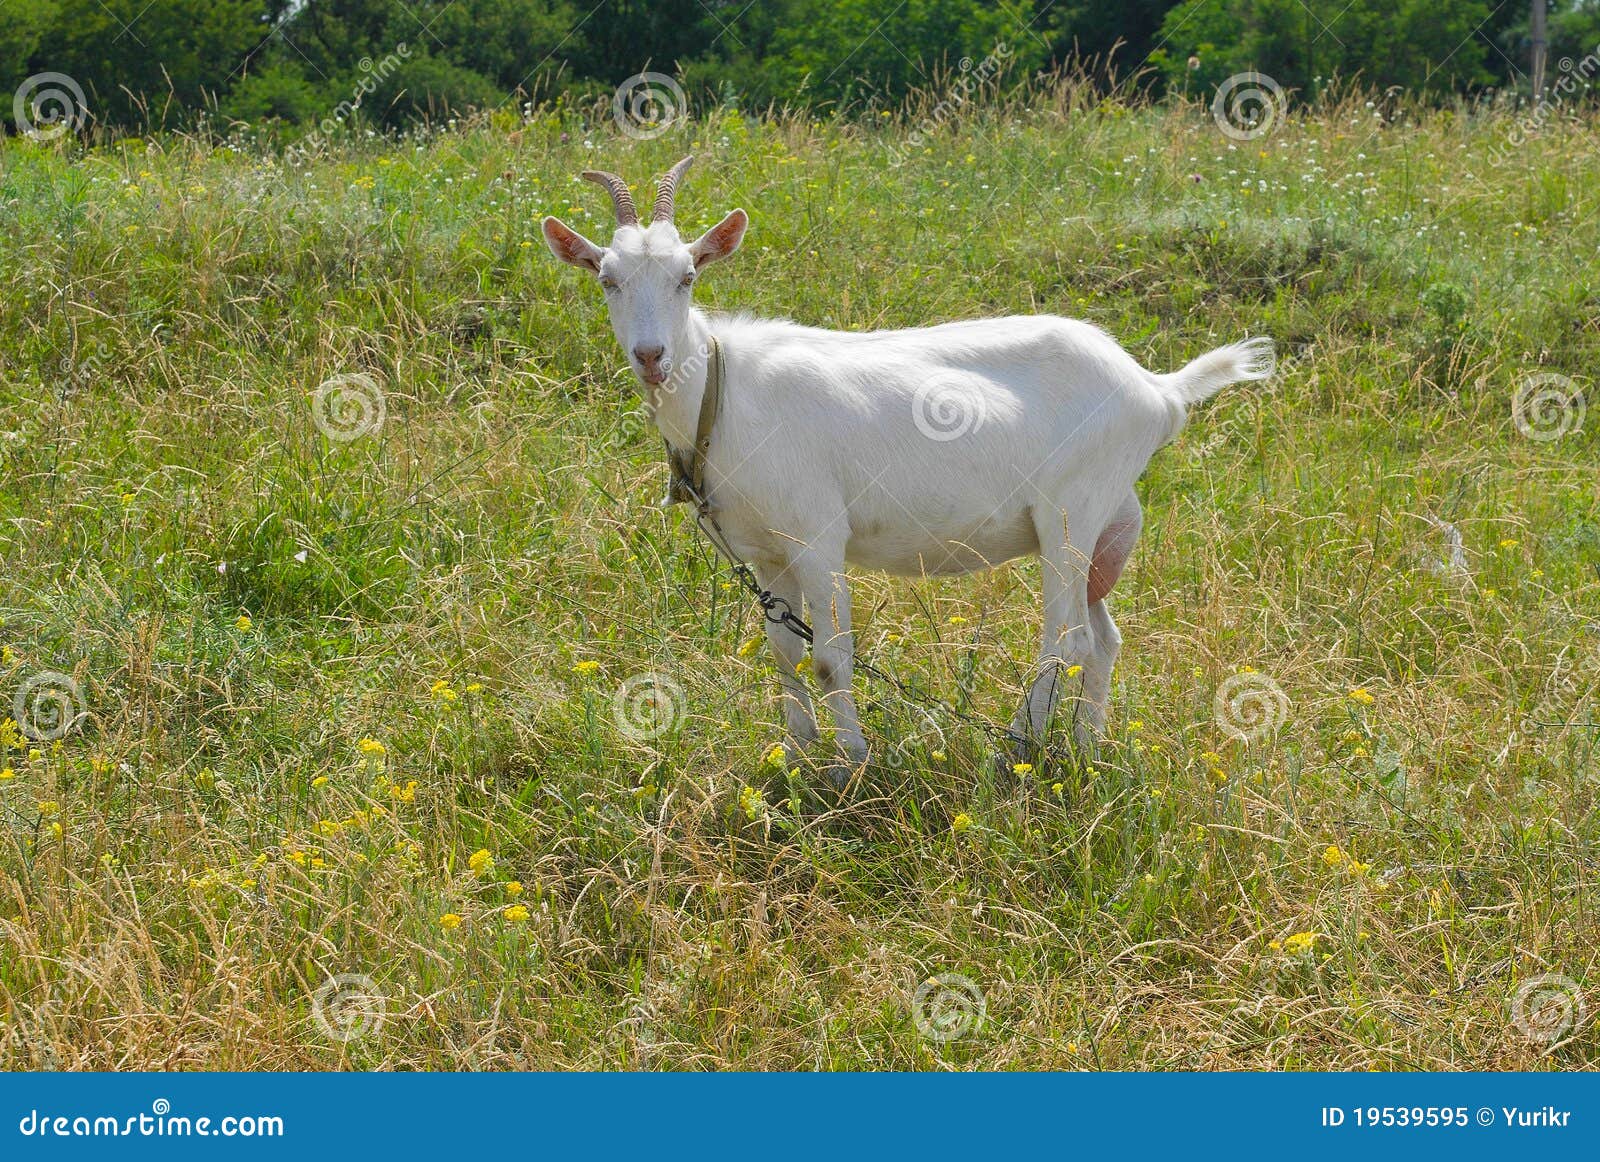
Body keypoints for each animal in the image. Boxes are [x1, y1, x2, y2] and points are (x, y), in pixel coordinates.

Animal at [544, 157, 1274, 765]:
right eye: (606, 279)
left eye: (687, 277)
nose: (651, 356)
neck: (721, 394)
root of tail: (1156, 389)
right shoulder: (767, 552)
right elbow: (783, 652)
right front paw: (799, 757)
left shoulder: (817, 534)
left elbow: (830, 657)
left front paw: (851, 765)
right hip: (1103, 522)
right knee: (1103, 639)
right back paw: (1086, 751)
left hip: (1072, 507)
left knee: (1066, 639)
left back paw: (1016, 749)